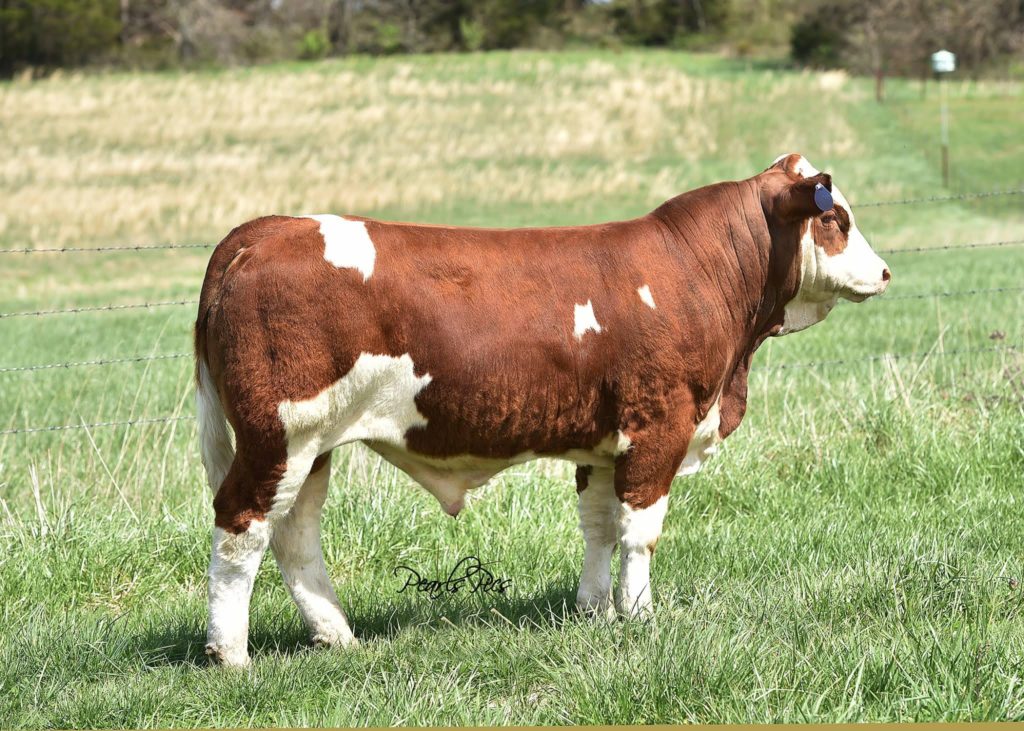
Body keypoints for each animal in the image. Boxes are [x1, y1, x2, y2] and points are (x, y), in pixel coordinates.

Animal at [194, 153, 890, 666]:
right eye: (836, 219)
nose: (884, 272)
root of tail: (268, 229)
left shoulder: (605, 444)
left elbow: (598, 527)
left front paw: (593, 611)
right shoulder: (659, 428)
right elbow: (640, 533)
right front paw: (640, 618)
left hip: (311, 447)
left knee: (294, 534)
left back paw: (336, 636)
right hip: (280, 436)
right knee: (241, 527)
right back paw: (232, 655)